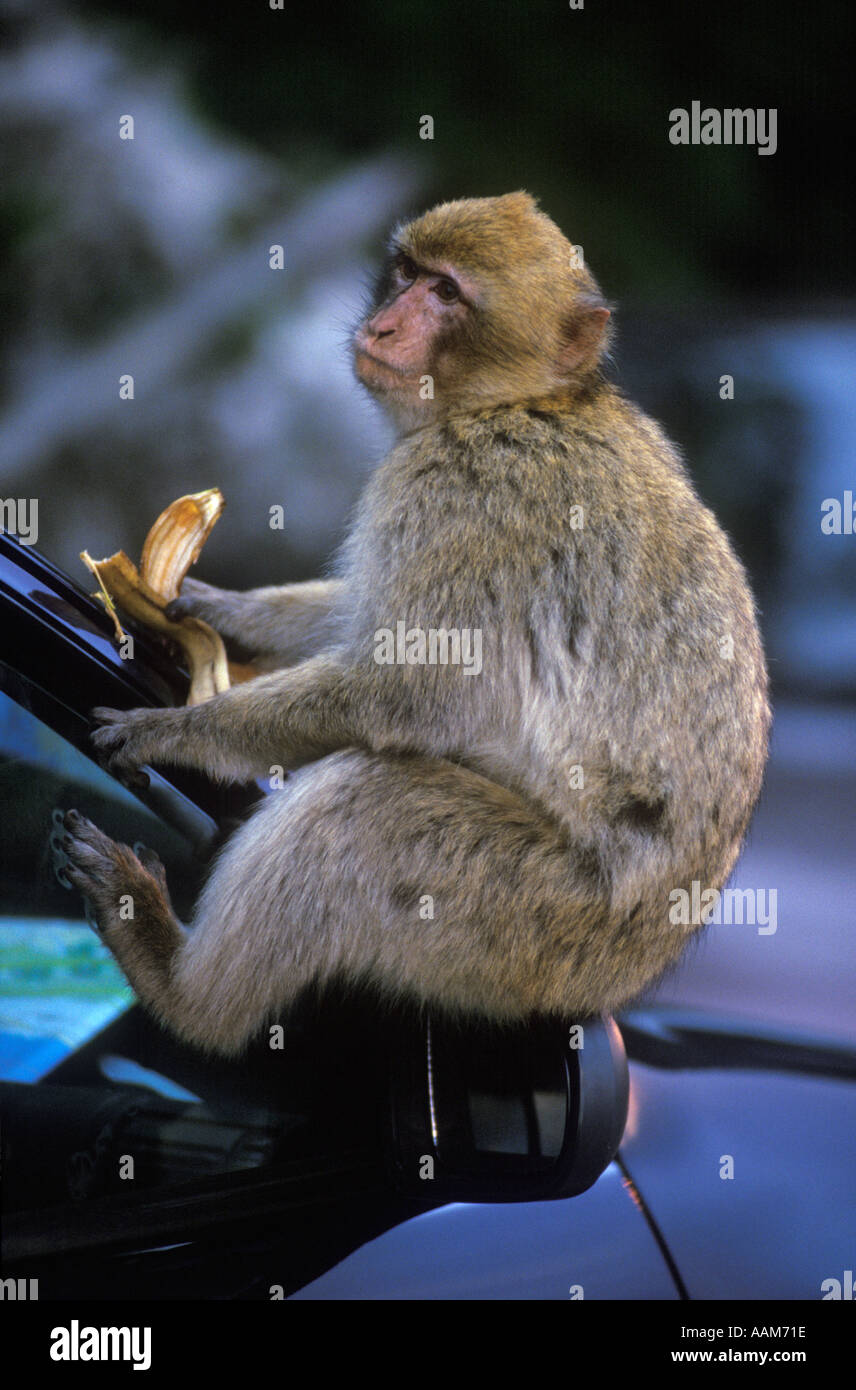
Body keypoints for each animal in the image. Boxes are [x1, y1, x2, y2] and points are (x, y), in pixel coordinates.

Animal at [59, 192, 770, 1057]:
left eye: (448, 294)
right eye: (407, 272)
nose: (387, 323)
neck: (526, 399)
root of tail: (621, 975)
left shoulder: (456, 487)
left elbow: (414, 690)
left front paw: (180, 731)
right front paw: (212, 608)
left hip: (532, 916)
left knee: (363, 806)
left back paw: (182, 989)